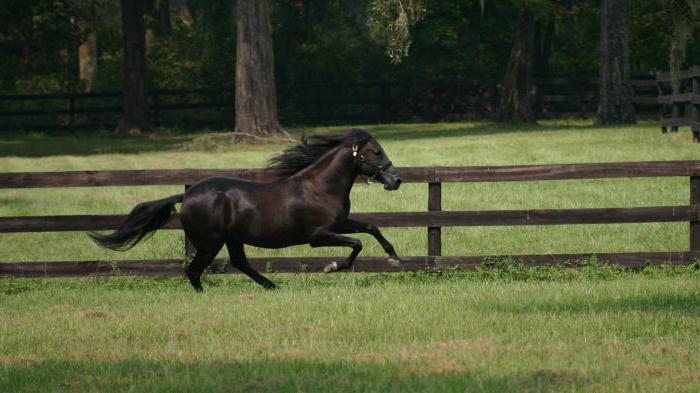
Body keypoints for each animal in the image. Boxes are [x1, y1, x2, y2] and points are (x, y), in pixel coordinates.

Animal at [90, 129, 402, 290]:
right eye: (376, 152)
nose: (396, 180)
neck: (319, 188)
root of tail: (187, 194)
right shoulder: (318, 235)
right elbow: (357, 243)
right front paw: (332, 267)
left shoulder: (340, 223)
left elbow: (371, 228)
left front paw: (394, 257)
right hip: (210, 242)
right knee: (194, 270)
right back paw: (207, 295)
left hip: (232, 239)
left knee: (239, 263)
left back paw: (272, 287)